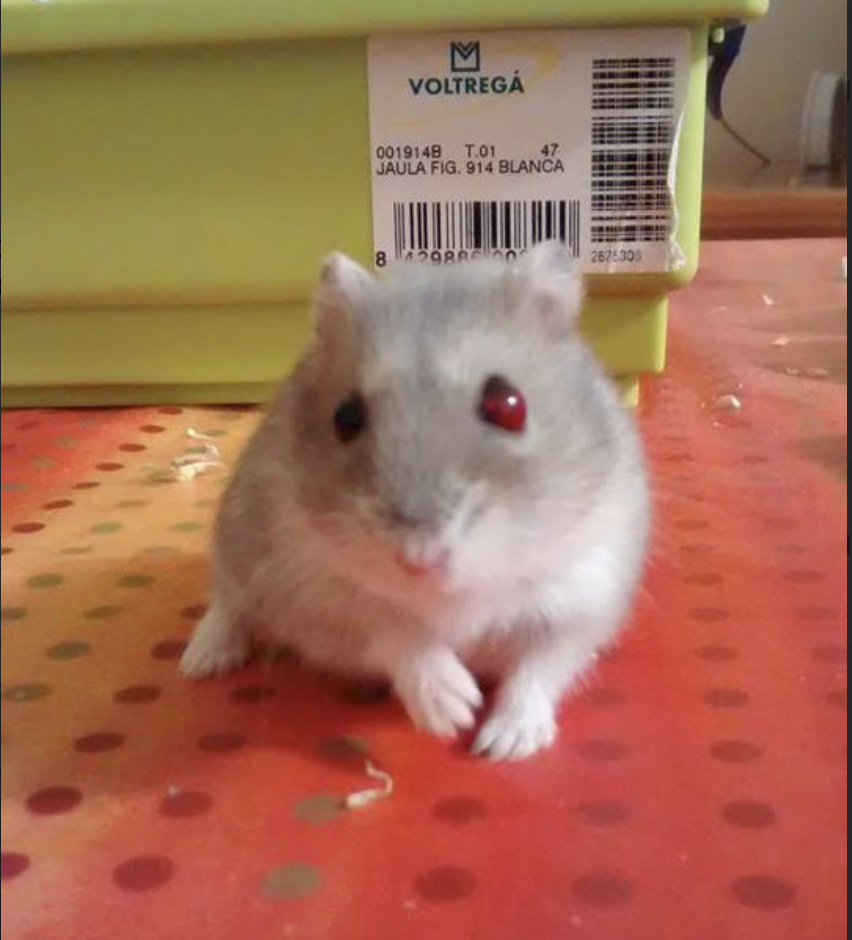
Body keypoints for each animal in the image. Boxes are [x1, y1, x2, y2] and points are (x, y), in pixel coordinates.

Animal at [180, 241, 650, 761]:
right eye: (345, 417)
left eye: (510, 405)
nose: (418, 559)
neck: (456, 595)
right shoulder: (320, 593)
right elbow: (394, 626)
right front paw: (455, 708)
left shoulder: (584, 593)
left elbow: (542, 665)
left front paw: (500, 746)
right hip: (236, 545)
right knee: (227, 604)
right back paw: (201, 663)